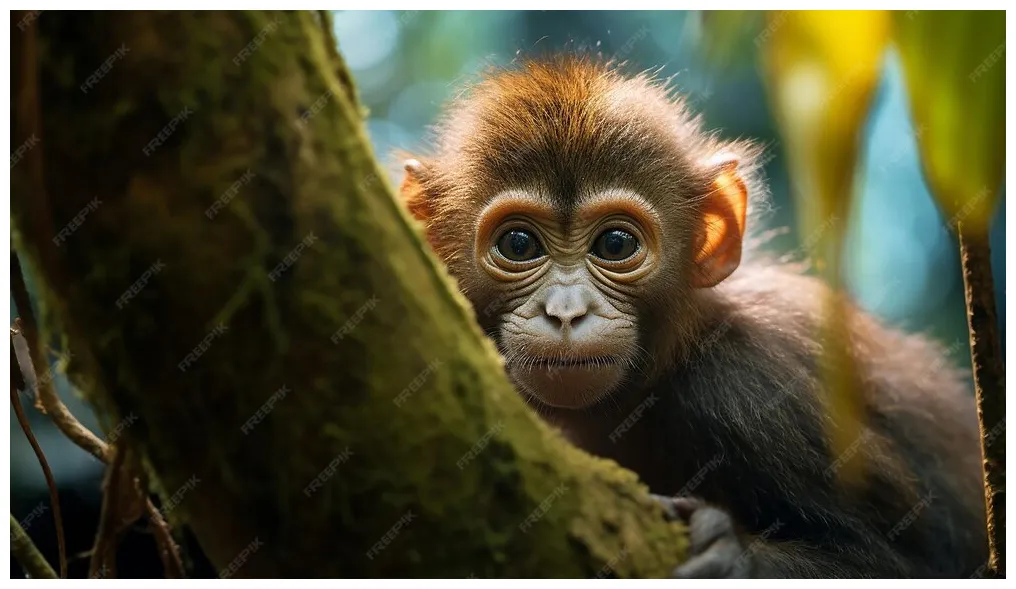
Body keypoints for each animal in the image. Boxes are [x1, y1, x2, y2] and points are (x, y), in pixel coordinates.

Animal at [397, 56, 988, 578]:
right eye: (518, 244)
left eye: (615, 244)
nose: (566, 312)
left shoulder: (751, 393)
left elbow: (912, 564)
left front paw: (733, 558)